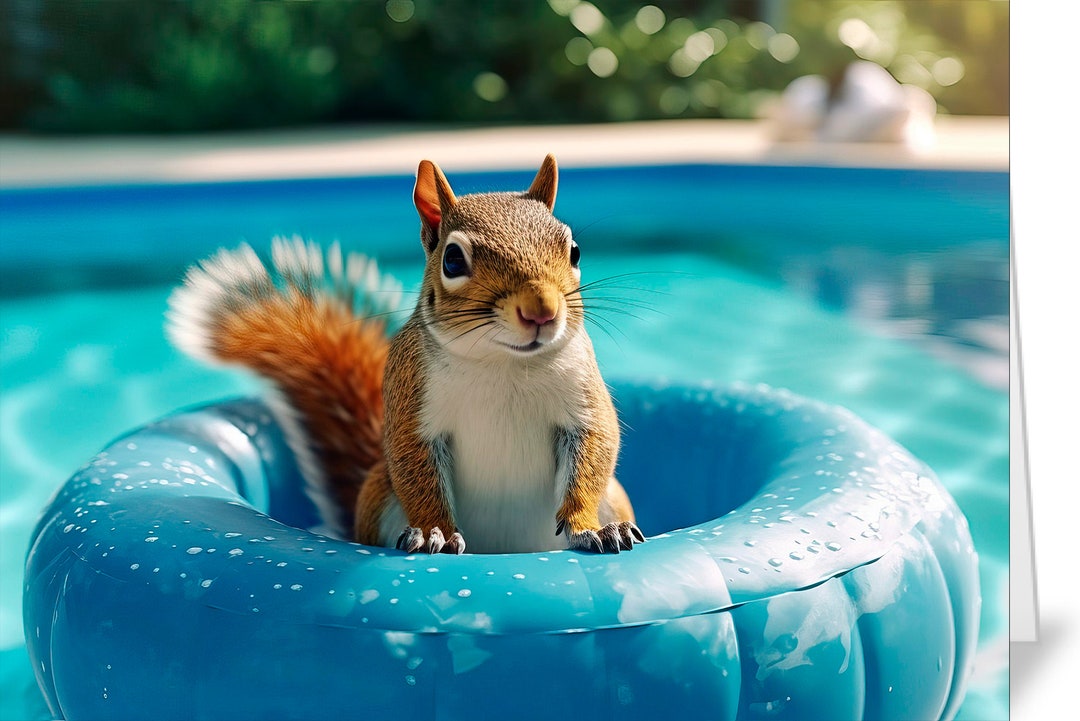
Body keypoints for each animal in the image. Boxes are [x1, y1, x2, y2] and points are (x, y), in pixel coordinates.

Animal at [166, 154, 643, 555]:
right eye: (453, 260)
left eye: (574, 251)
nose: (541, 310)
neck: (505, 363)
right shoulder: (413, 405)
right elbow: (417, 472)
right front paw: (436, 532)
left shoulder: (582, 400)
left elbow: (594, 453)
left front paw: (589, 527)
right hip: (380, 493)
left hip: (615, 496)